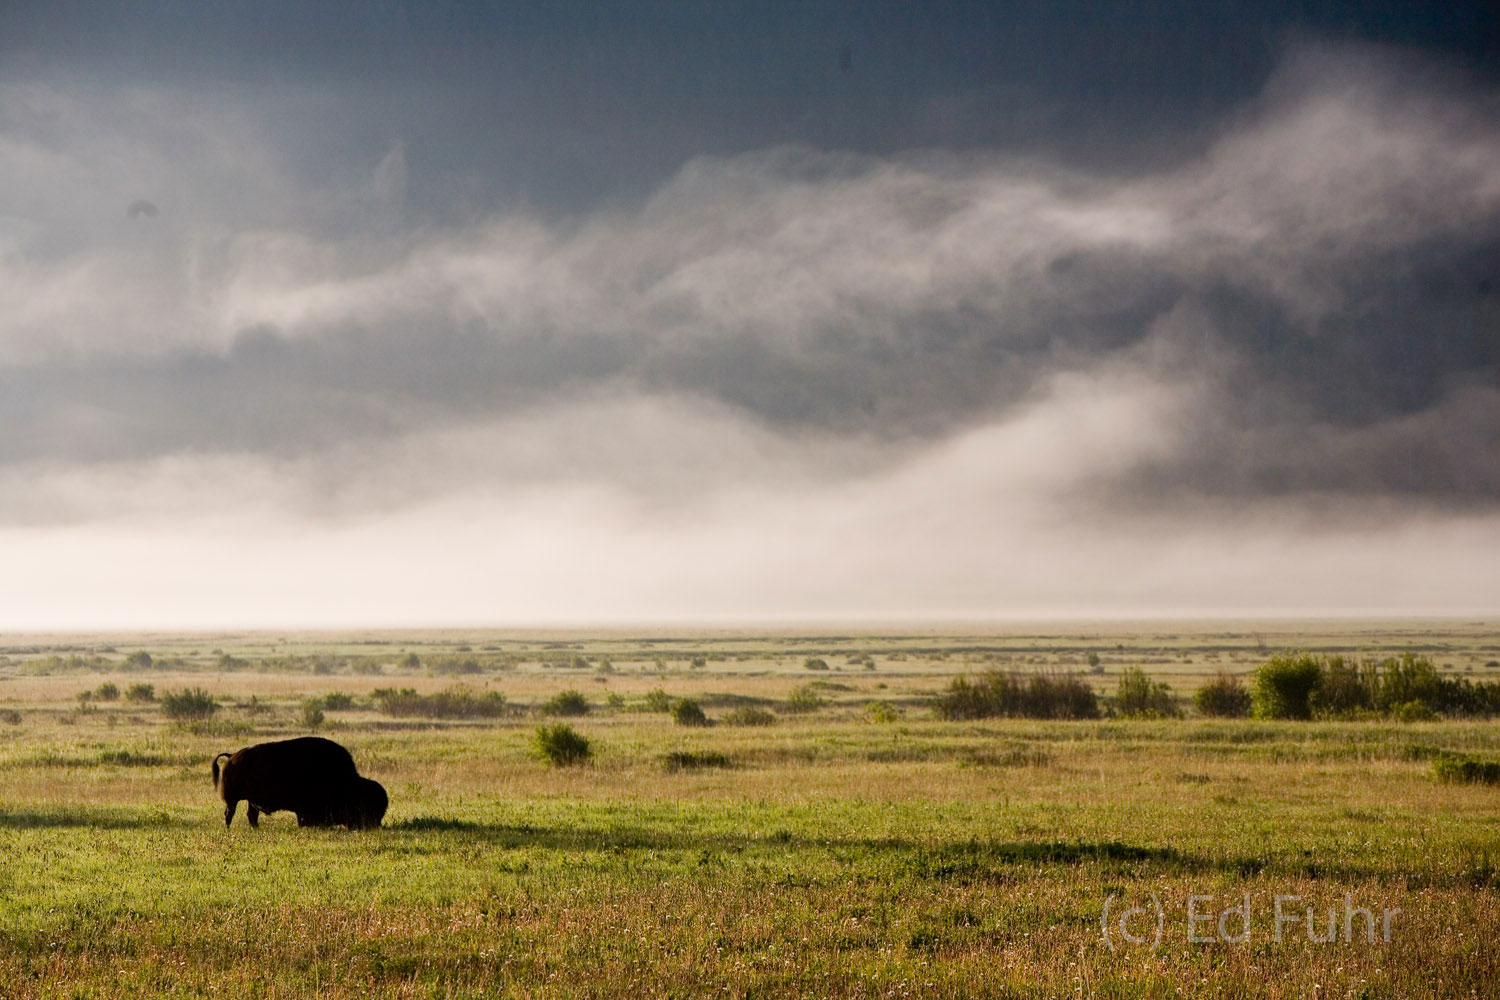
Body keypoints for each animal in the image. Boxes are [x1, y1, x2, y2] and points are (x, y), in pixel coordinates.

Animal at [212, 736, 386, 830]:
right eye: (364, 807)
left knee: (251, 815)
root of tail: (232, 756)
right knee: (230, 813)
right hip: (233, 799)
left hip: (250, 800)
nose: (374, 825)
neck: (348, 784)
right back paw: (228, 828)